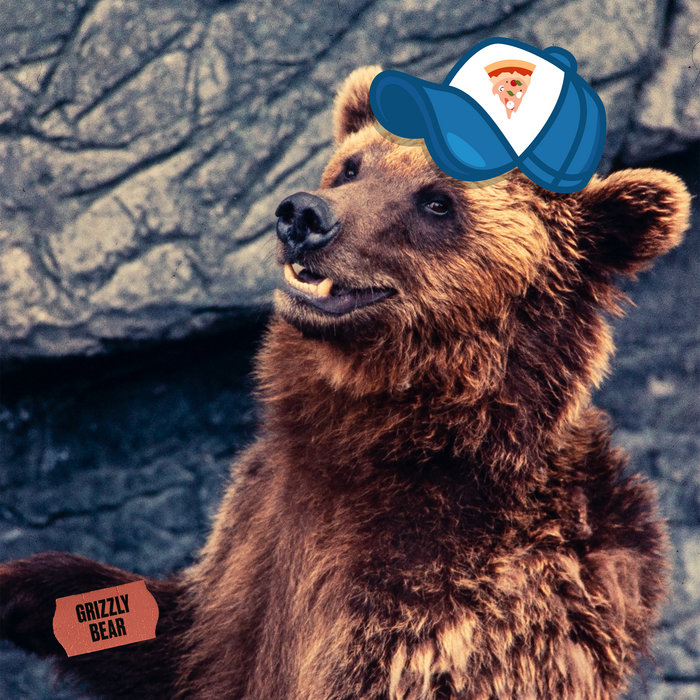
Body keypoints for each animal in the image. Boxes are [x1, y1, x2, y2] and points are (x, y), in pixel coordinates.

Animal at [0, 65, 692, 700]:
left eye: (437, 200)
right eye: (354, 167)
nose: (303, 214)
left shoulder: (457, 604)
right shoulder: (255, 541)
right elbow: (178, 637)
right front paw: (25, 584)